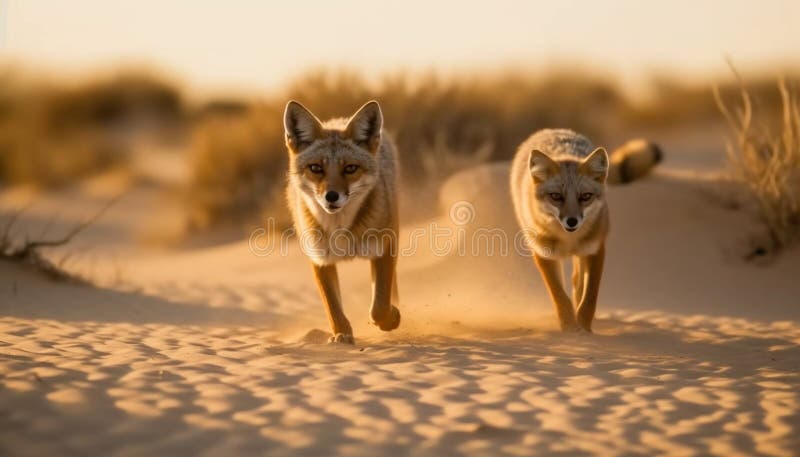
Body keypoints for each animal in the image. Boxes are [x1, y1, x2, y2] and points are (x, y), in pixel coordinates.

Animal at [283, 100, 400, 344]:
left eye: (350, 168)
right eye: (316, 168)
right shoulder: (319, 259)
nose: (332, 196)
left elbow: (379, 306)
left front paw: (390, 318)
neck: (340, 231)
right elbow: (333, 308)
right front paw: (342, 335)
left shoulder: (385, 245)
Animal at [510, 129, 661, 332]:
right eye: (556, 196)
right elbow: (560, 297)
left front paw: (583, 330)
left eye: (585, 196)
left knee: (577, 282)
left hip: (582, 254)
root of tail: (553, 131)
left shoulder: (595, 250)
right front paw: (569, 328)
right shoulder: (543, 254)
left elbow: (588, 300)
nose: (572, 221)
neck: (568, 241)